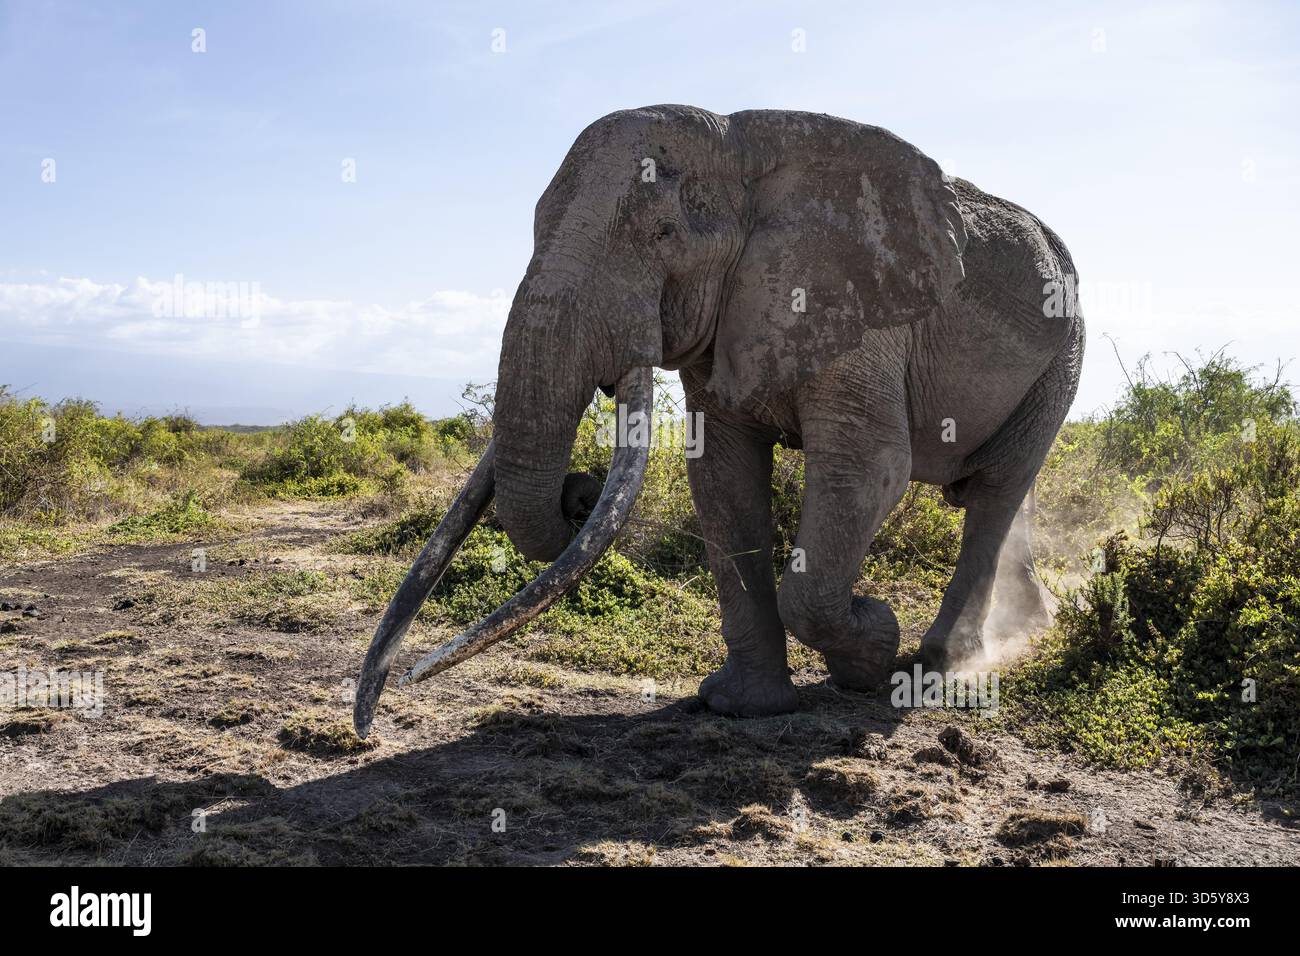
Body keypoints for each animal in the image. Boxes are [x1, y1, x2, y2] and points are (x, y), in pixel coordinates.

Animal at [353, 104, 1083, 735]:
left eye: (664, 236)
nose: (578, 490)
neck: (741, 147)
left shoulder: (860, 312)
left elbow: (870, 467)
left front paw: (873, 644)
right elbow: (722, 475)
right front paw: (741, 707)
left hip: (1062, 358)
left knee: (994, 493)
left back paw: (939, 664)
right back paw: (1024, 625)